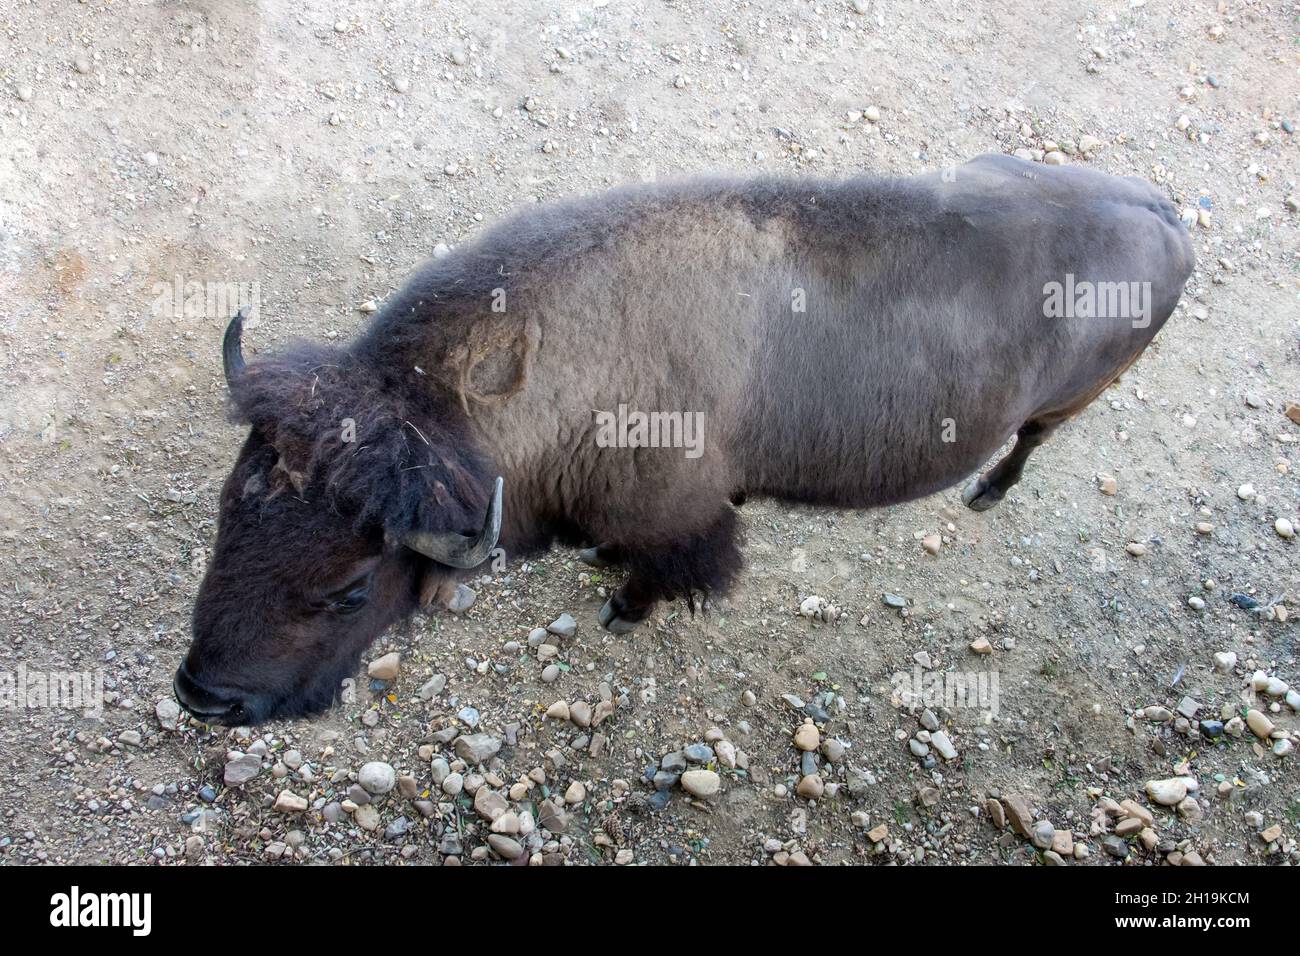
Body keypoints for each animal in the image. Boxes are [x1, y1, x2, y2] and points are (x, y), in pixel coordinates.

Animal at [174, 154, 1194, 724]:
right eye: (226, 517)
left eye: (350, 589)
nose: (204, 697)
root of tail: (1165, 214)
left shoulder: (678, 520)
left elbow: (667, 571)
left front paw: (620, 611)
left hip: (1072, 401)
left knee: (1030, 441)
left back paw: (987, 492)